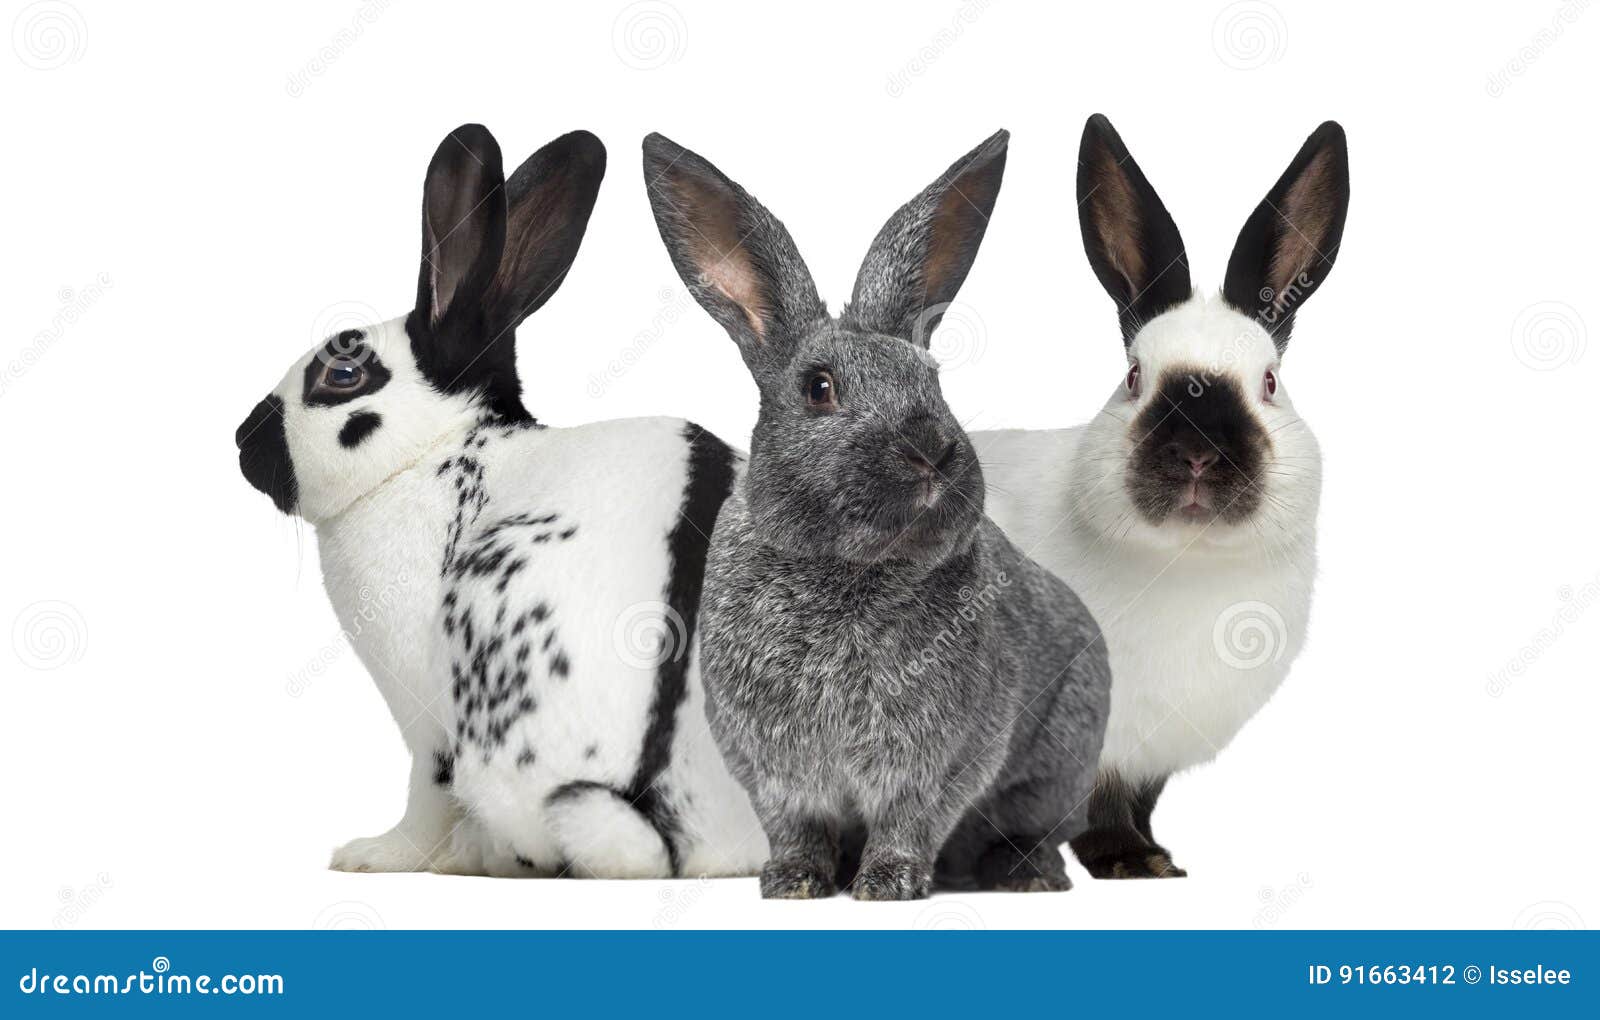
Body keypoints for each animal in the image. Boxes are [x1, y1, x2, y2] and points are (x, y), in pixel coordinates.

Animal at [234, 124, 766, 878]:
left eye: (343, 371)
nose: (242, 443)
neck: (432, 451)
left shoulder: (426, 720)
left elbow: (425, 795)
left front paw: (373, 856)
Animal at [643, 129, 1112, 901]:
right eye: (818, 388)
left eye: (933, 383)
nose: (931, 447)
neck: (845, 568)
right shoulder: (770, 771)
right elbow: (795, 826)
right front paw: (794, 883)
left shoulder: (945, 761)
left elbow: (911, 819)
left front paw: (888, 884)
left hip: (1062, 762)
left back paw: (1025, 876)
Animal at [970, 115, 1348, 879]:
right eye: (1134, 377)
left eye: (1269, 383)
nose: (1198, 453)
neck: (1188, 560)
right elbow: (1094, 808)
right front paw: (1129, 863)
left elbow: (1137, 802)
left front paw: (1156, 857)